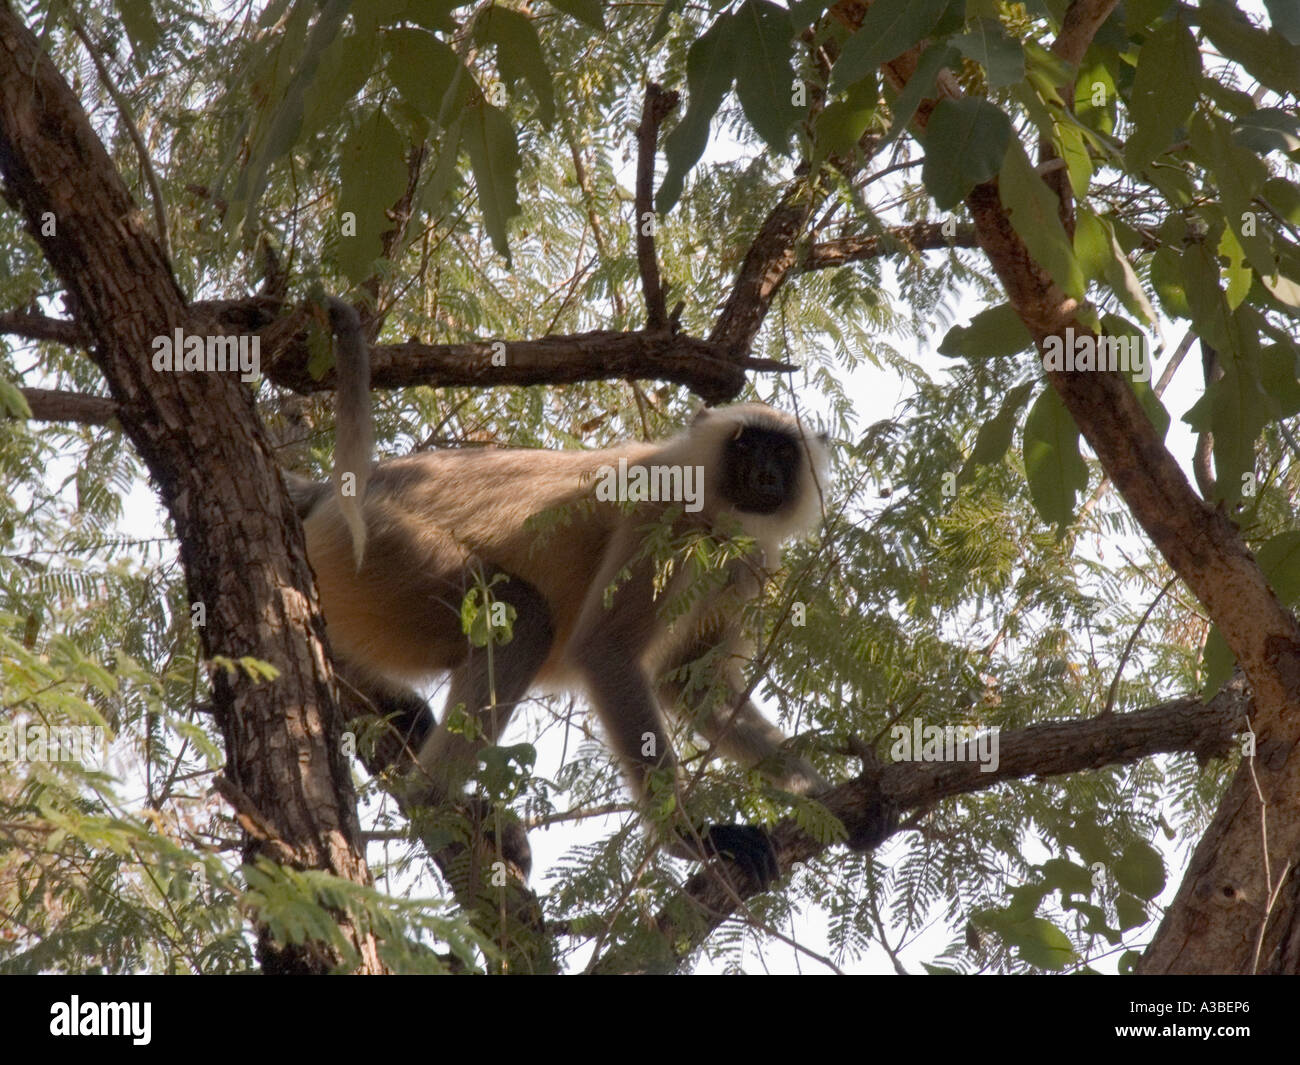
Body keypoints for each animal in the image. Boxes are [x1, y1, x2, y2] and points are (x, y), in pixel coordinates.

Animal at [288, 298, 832, 885]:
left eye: (781, 453)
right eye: (746, 445)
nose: (764, 473)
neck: (715, 515)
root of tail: (334, 491)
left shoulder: (748, 563)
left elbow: (690, 683)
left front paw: (818, 791)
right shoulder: (663, 511)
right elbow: (607, 651)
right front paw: (694, 838)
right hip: (383, 549)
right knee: (523, 619)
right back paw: (435, 800)